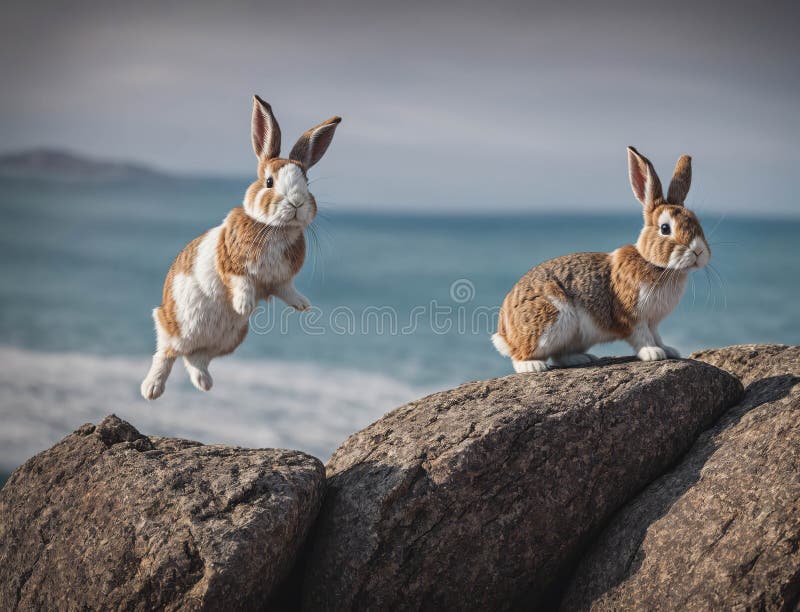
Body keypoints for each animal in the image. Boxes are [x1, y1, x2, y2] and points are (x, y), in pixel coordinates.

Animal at [141, 95, 341, 399]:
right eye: (269, 182)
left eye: (306, 183)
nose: (297, 203)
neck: (274, 228)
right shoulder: (233, 266)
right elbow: (241, 283)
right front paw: (244, 304)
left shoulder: (280, 281)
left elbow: (287, 290)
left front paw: (303, 305)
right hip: (173, 325)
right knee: (165, 354)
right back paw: (151, 390)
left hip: (229, 339)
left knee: (195, 358)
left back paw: (205, 383)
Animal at [492, 146, 709, 373]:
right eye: (665, 228)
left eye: (697, 222)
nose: (699, 252)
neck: (653, 264)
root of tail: (504, 332)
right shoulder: (632, 316)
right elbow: (642, 337)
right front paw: (653, 353)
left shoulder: (653, 322)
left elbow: (656, 335)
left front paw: (668, 350)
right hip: (550, 321)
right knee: (521, 355)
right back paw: (533, 366)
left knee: (560, 356)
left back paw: (580, 358)